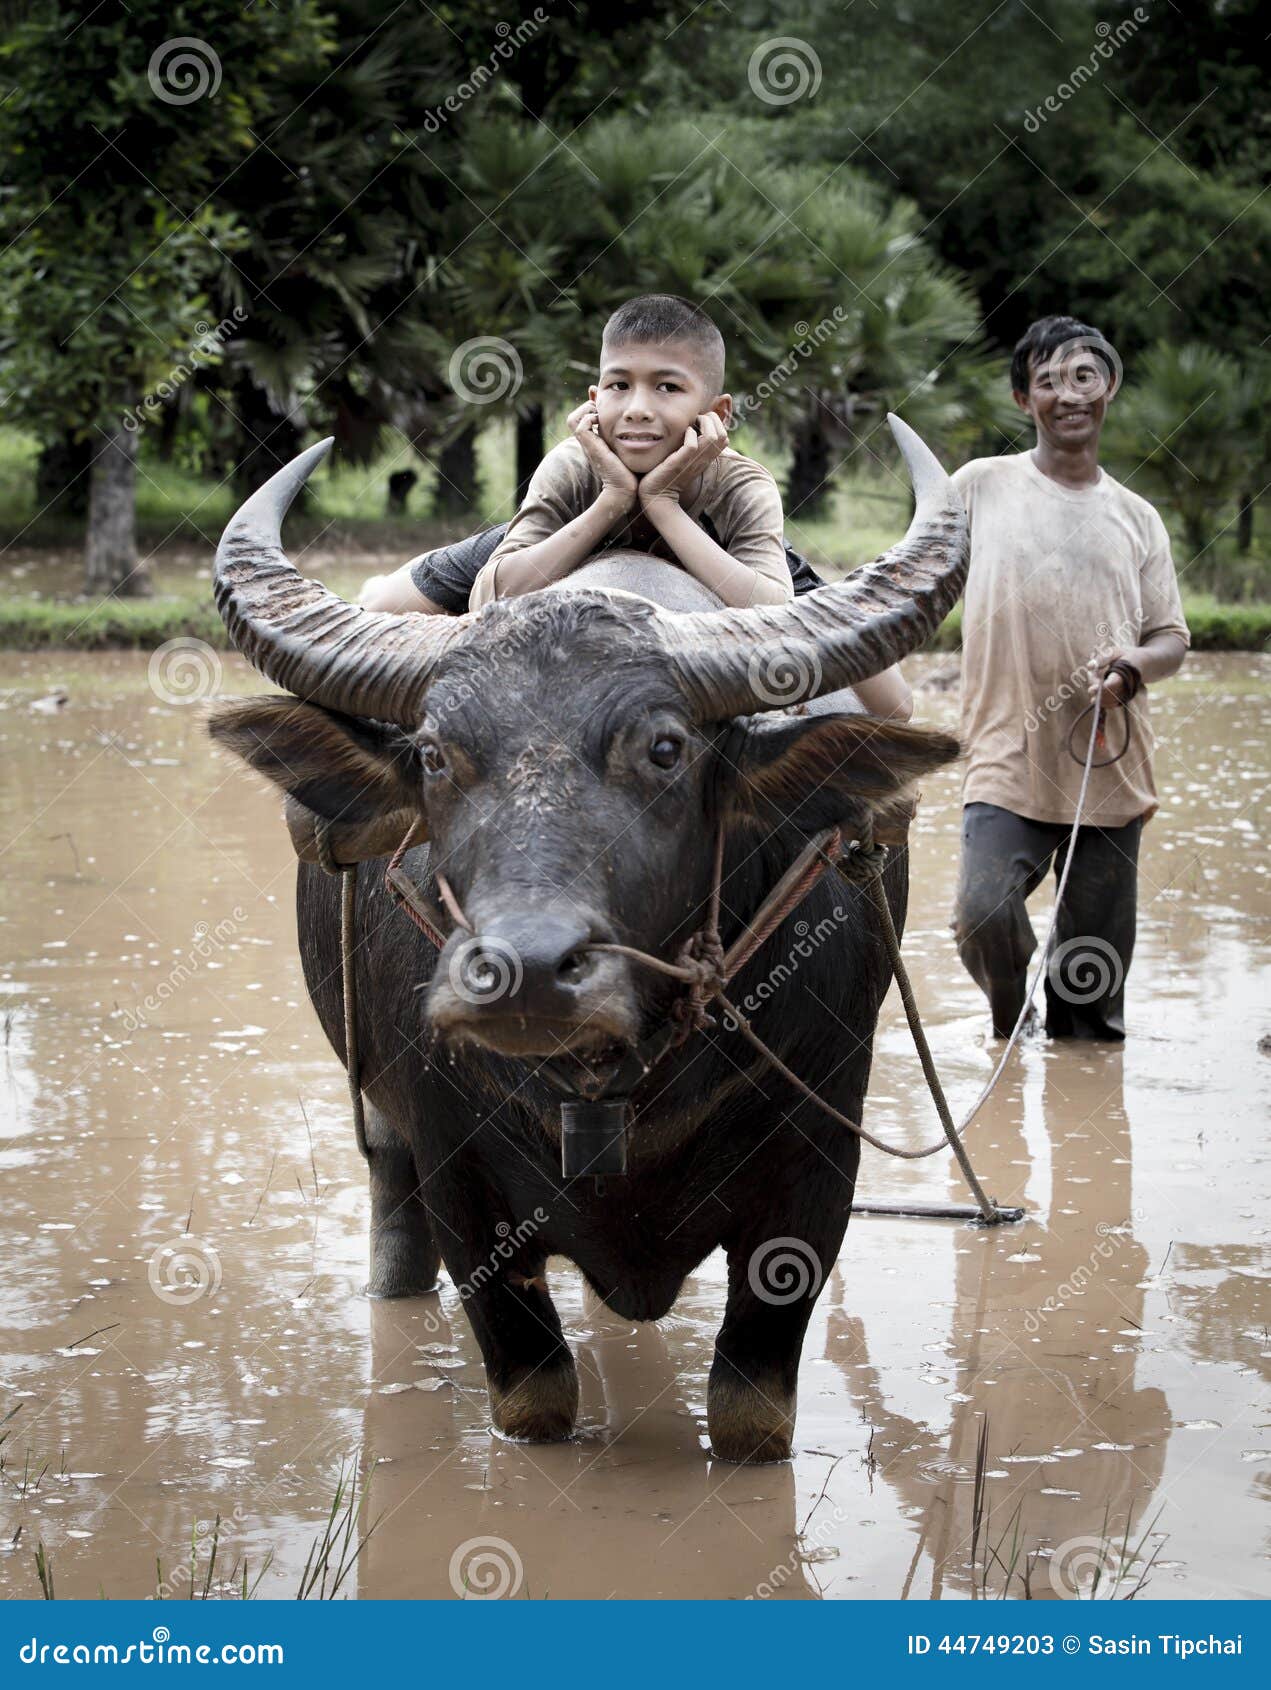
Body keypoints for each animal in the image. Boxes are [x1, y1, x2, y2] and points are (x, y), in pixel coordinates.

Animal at [206, 417, 966, 1463]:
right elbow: (532, 1398)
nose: (521, 971)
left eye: (665, 748)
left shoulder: (818, 1164)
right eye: (434, 754)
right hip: (384, 1135)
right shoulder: (456, 1177)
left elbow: (750, 1413)